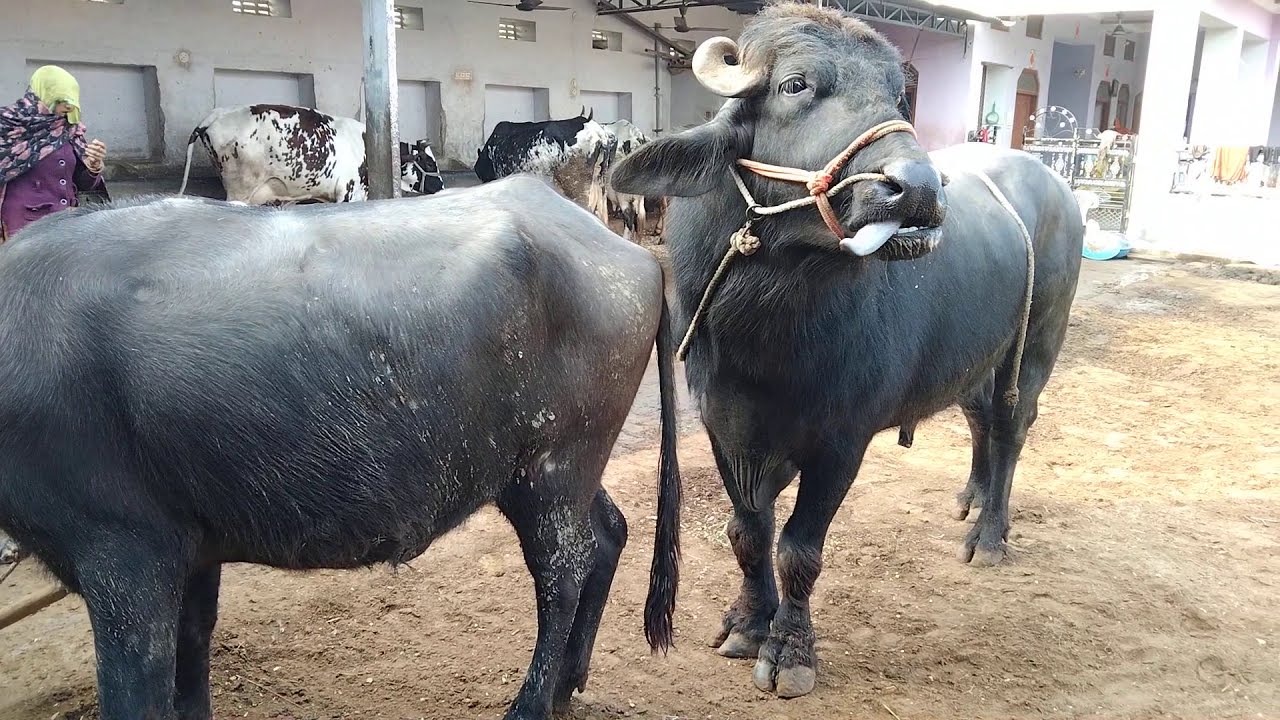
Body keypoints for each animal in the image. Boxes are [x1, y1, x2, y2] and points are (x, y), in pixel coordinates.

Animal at [0, 176, 681, 720]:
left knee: (562, 574)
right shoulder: (189, 548)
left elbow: (138, 689)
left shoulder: (125, 557)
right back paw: (568, 684)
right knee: (609, 533)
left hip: (555, 466)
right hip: (550, 471)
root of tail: (635, 258)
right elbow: (191, 654)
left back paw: (532, 704)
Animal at [612, 1, 1083, 700]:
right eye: (795, 85)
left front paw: (789, 652)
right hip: (976, 355)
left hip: (1037, 344)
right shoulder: (724, 426)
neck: (766, 332)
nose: (918, 191)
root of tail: (1057, 188)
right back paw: (970, 496)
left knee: (1011, 426)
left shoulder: (842, 440)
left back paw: (990, 534)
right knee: (980, 419)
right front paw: (746, 623)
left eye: (898, 95)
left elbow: (798, 549)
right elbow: (748, 533)